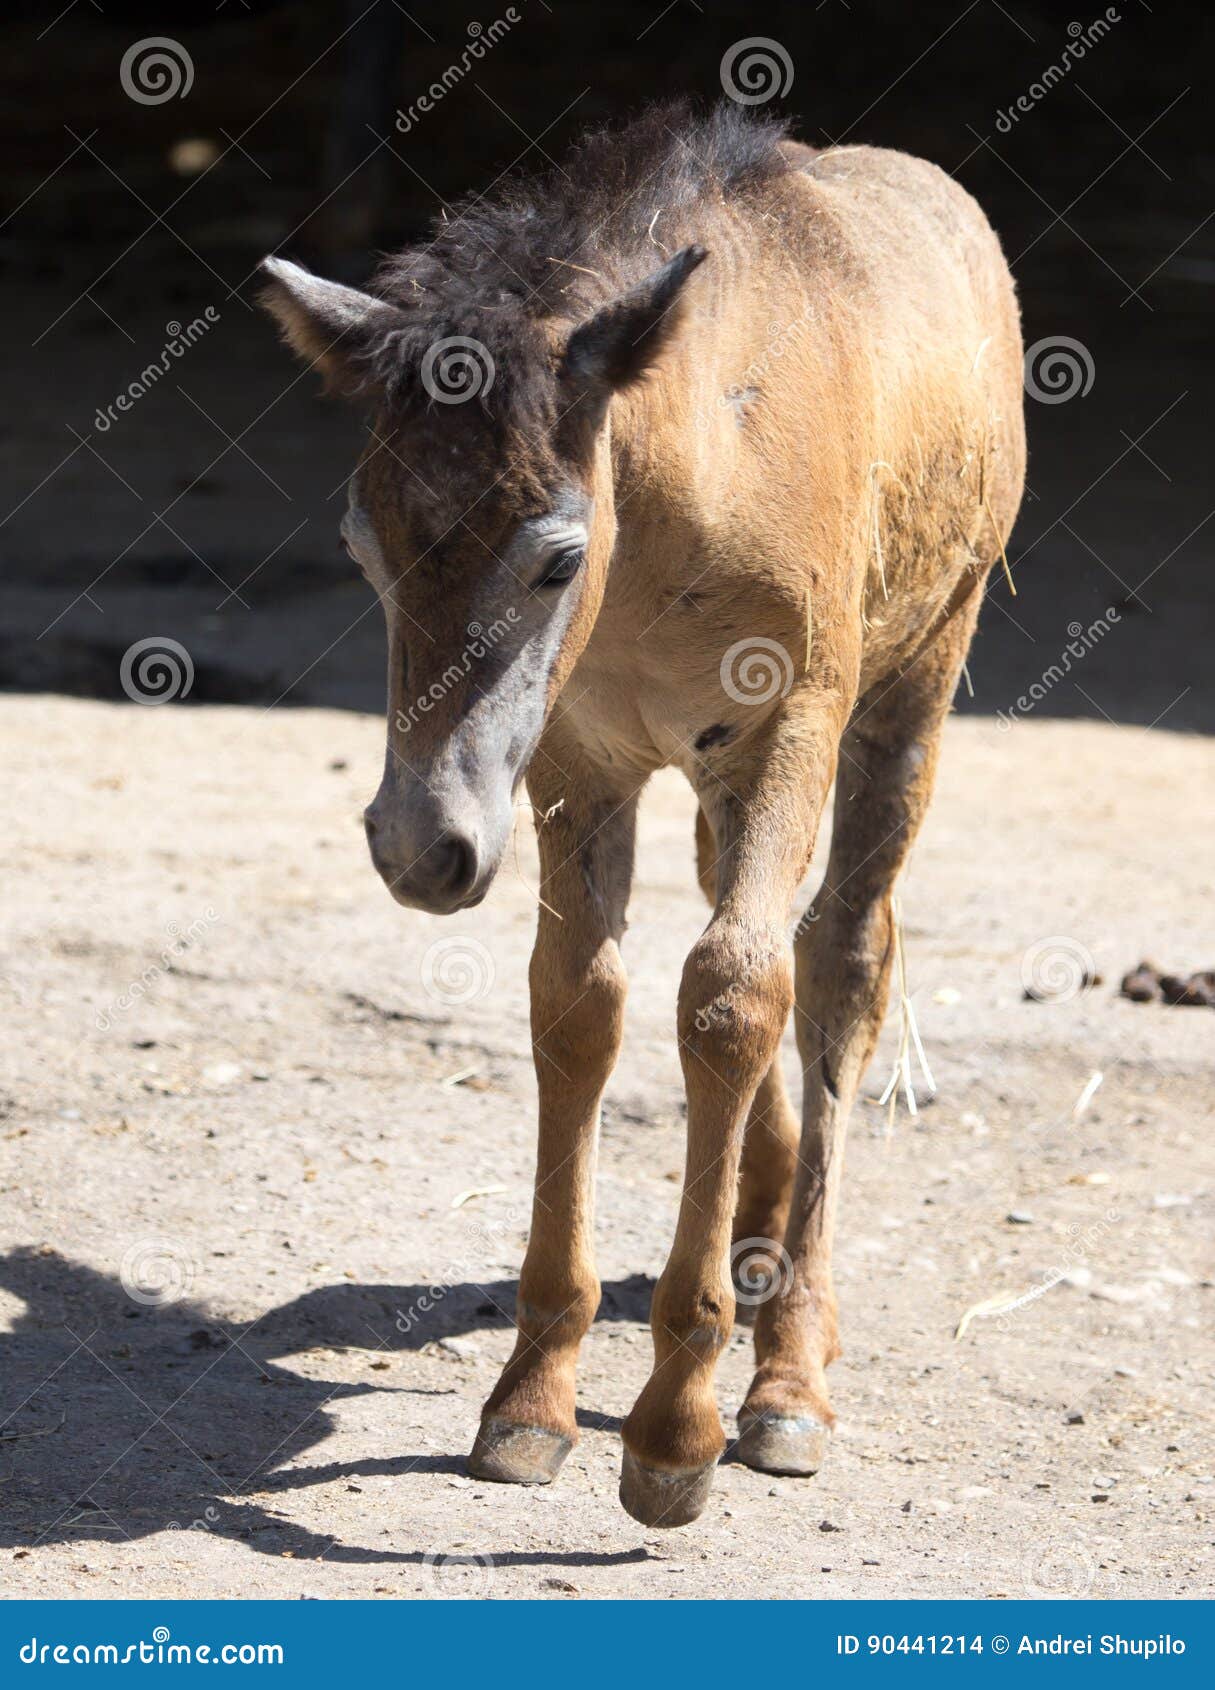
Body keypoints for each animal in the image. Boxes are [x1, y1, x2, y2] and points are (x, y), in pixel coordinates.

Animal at [259, 100, 1025, 1529]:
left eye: (557, 557)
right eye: (357, 546)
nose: (419, 846)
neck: (679, 500)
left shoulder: (794, 726)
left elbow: (731, 994)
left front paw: (679, 1429)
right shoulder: (579, 756)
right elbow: (580, 1003)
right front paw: (530, 1400)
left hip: (913, 683)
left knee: (842, 959)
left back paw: (790, 1366)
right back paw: (760, 1231)